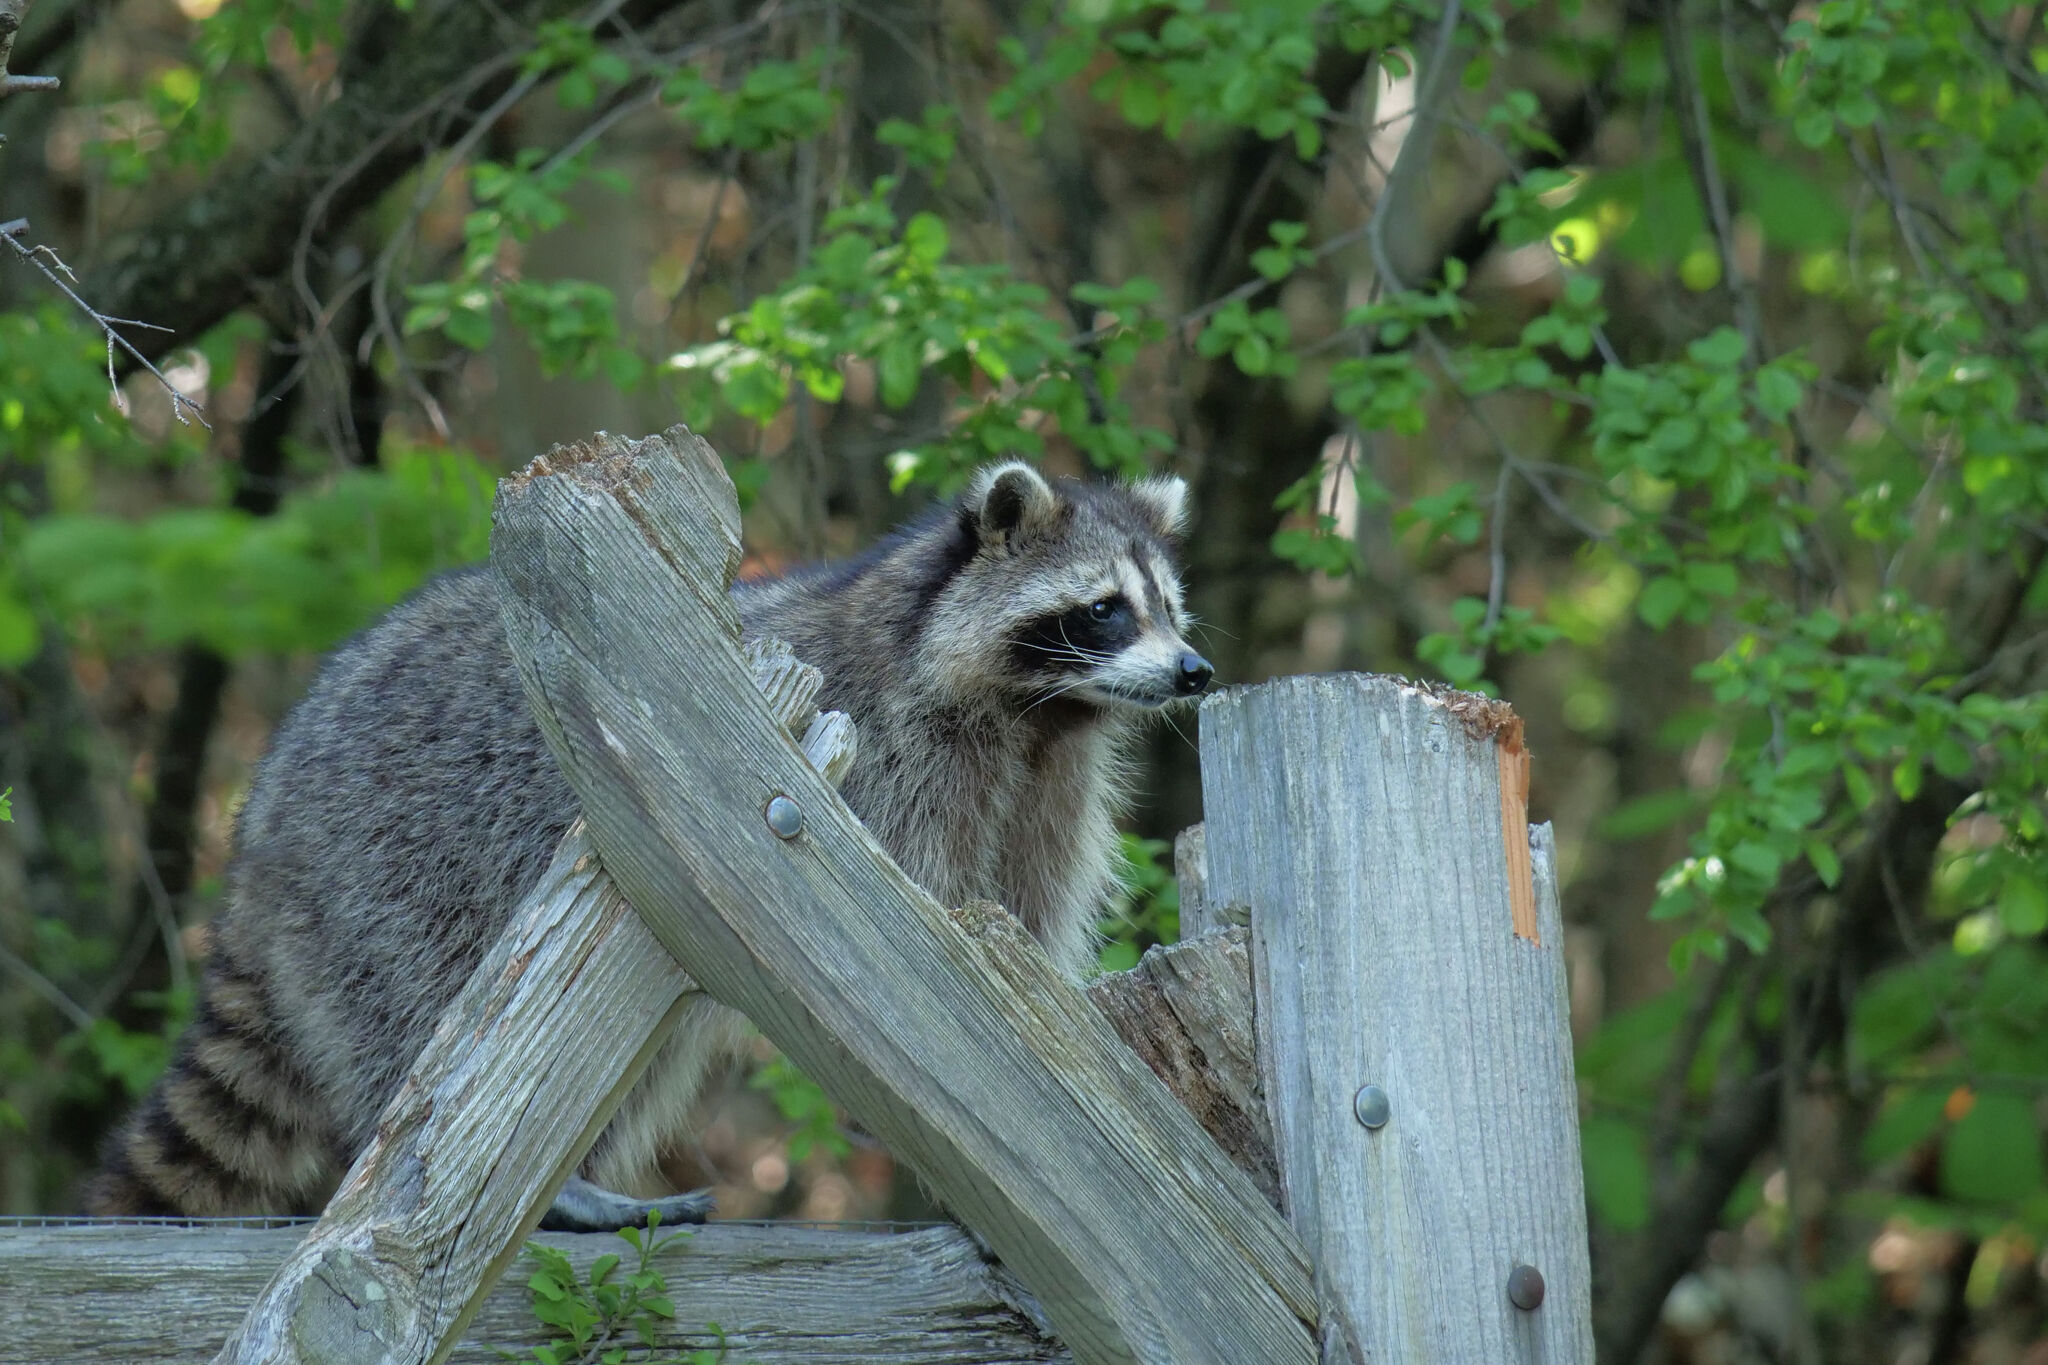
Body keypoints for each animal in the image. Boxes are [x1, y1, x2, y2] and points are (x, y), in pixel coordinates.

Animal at [83, 460, 1212, 1230]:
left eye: (1169, 608)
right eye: (1104, 611)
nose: (1196, 672)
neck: (1038, 714)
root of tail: (268, 813)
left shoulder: (1046, 789)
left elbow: (1022, 910)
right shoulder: (885, 758)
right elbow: (908, 929)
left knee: (644, 1055)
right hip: (399, 859)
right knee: (425, 1008)